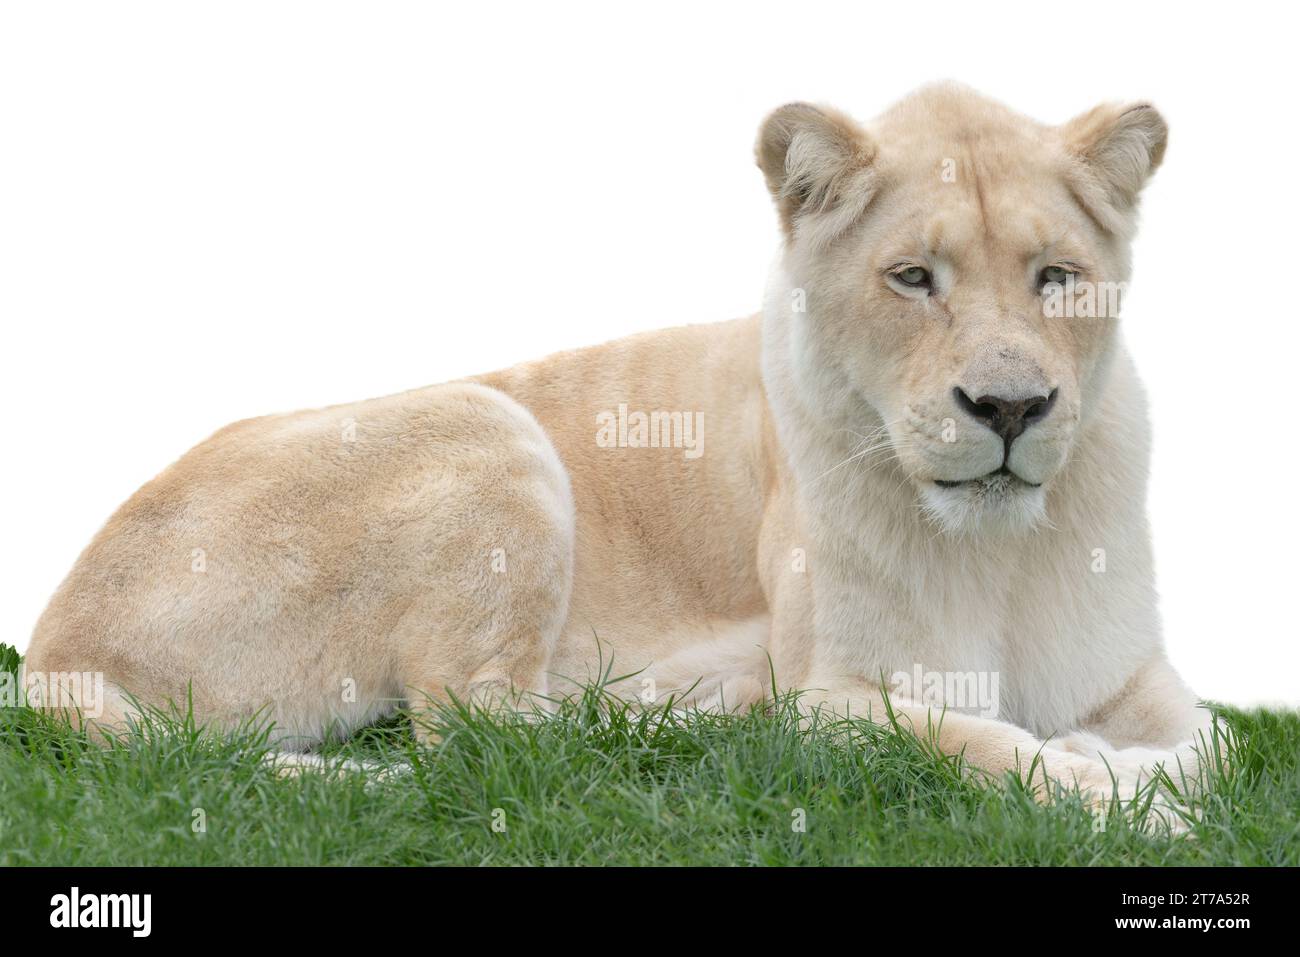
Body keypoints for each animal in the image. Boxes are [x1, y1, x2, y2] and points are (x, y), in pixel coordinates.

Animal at [23, 83, 1214, 806]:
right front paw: (1104, 789)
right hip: (488, 423)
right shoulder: (831, 692)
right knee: (484, 732)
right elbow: (964, 737)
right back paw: (697, 712)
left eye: (1056, 276)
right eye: (913, 278)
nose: (1009, 408)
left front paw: (1127, 768)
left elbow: (1212, 747)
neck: (999, 547)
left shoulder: (1137, 678)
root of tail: (51, 647)